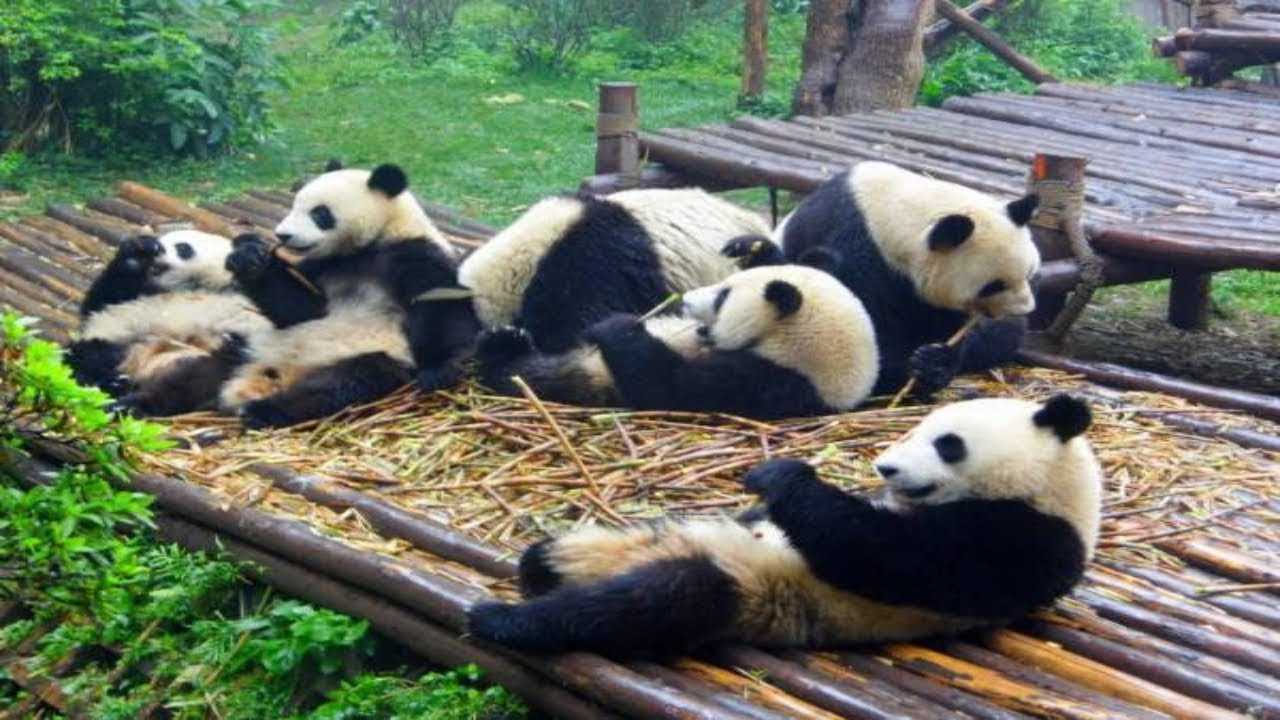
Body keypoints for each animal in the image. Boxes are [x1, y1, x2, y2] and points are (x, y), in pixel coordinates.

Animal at [65, 230, 270, 416]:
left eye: (183, 248)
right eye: (161, 241)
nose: (159, 249)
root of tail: (140, 370)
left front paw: (250, 252)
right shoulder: (137, 293)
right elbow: (101, 300)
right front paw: (138, 252)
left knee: (189, 384)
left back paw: (129, 403)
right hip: (120, 341)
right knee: (88, 354)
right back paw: (106, 380)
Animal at [219, 163, 477, 428]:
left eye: (320, 214)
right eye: (294, 204)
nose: (282, 235)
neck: (370, 244)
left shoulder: (413, 251)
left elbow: (441, 305)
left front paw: (436, 371)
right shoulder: (324, 265)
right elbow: (301, 309)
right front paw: (250, 256)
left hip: (367, 355)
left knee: (339, 384)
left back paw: (263, 410)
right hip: (252, 345)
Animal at [467, 394, 1101, 657]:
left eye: (948, 444)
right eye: (918, 429)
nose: (886, 467)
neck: (1054, 490)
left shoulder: (1023, 542)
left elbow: (887, 555)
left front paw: (779, 476)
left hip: (751, 591)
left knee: (653, 601)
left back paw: (507, 619)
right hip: (642, 540)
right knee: (571, 553)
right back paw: (540, 570)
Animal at [474, 263, 879, 420]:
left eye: (723, 296)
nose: (685, 300)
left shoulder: (769, 383)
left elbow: (667, 387)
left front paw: (615, 326)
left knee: (537, 376)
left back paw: (501, 351)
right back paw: (505, 339)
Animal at [731, 161, 1041, 399]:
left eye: (1029, 273)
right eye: (994, 285)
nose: (1025, 309)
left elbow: (946, 325)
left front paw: (933, 364)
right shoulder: (858, 247)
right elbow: (868, 321)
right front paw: (905, 373)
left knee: (1004, 335)